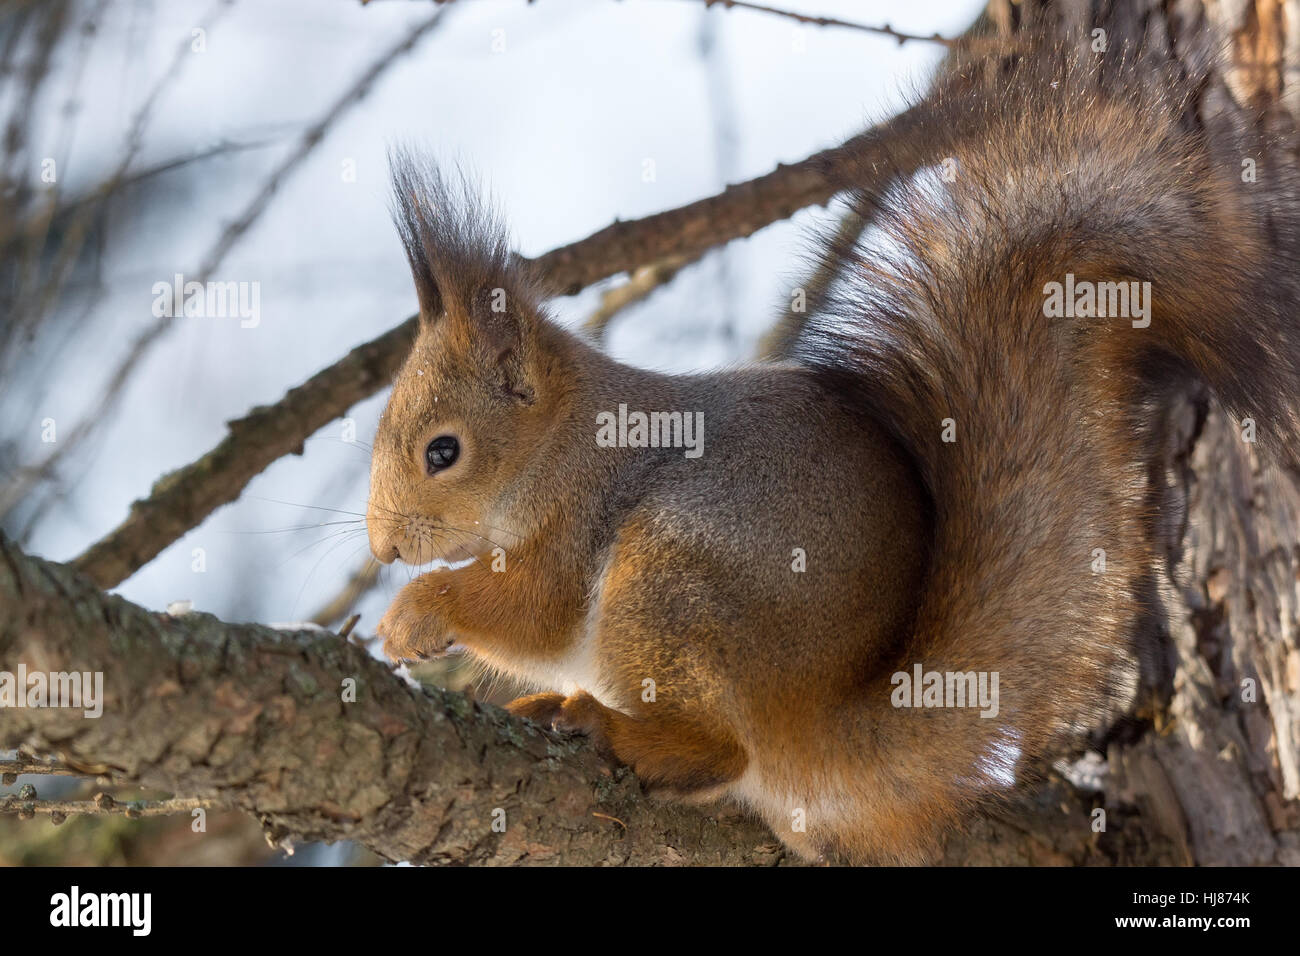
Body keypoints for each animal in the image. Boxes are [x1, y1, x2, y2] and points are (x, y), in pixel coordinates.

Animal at [366, 29, 1300, 863]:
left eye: (442, 452)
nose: (381, 548)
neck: (556, 441)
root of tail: (821, 728)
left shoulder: (584, 507)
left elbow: (535, 608)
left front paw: (417, 615)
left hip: (667, 581)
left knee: (719, 751)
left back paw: (612, 728)